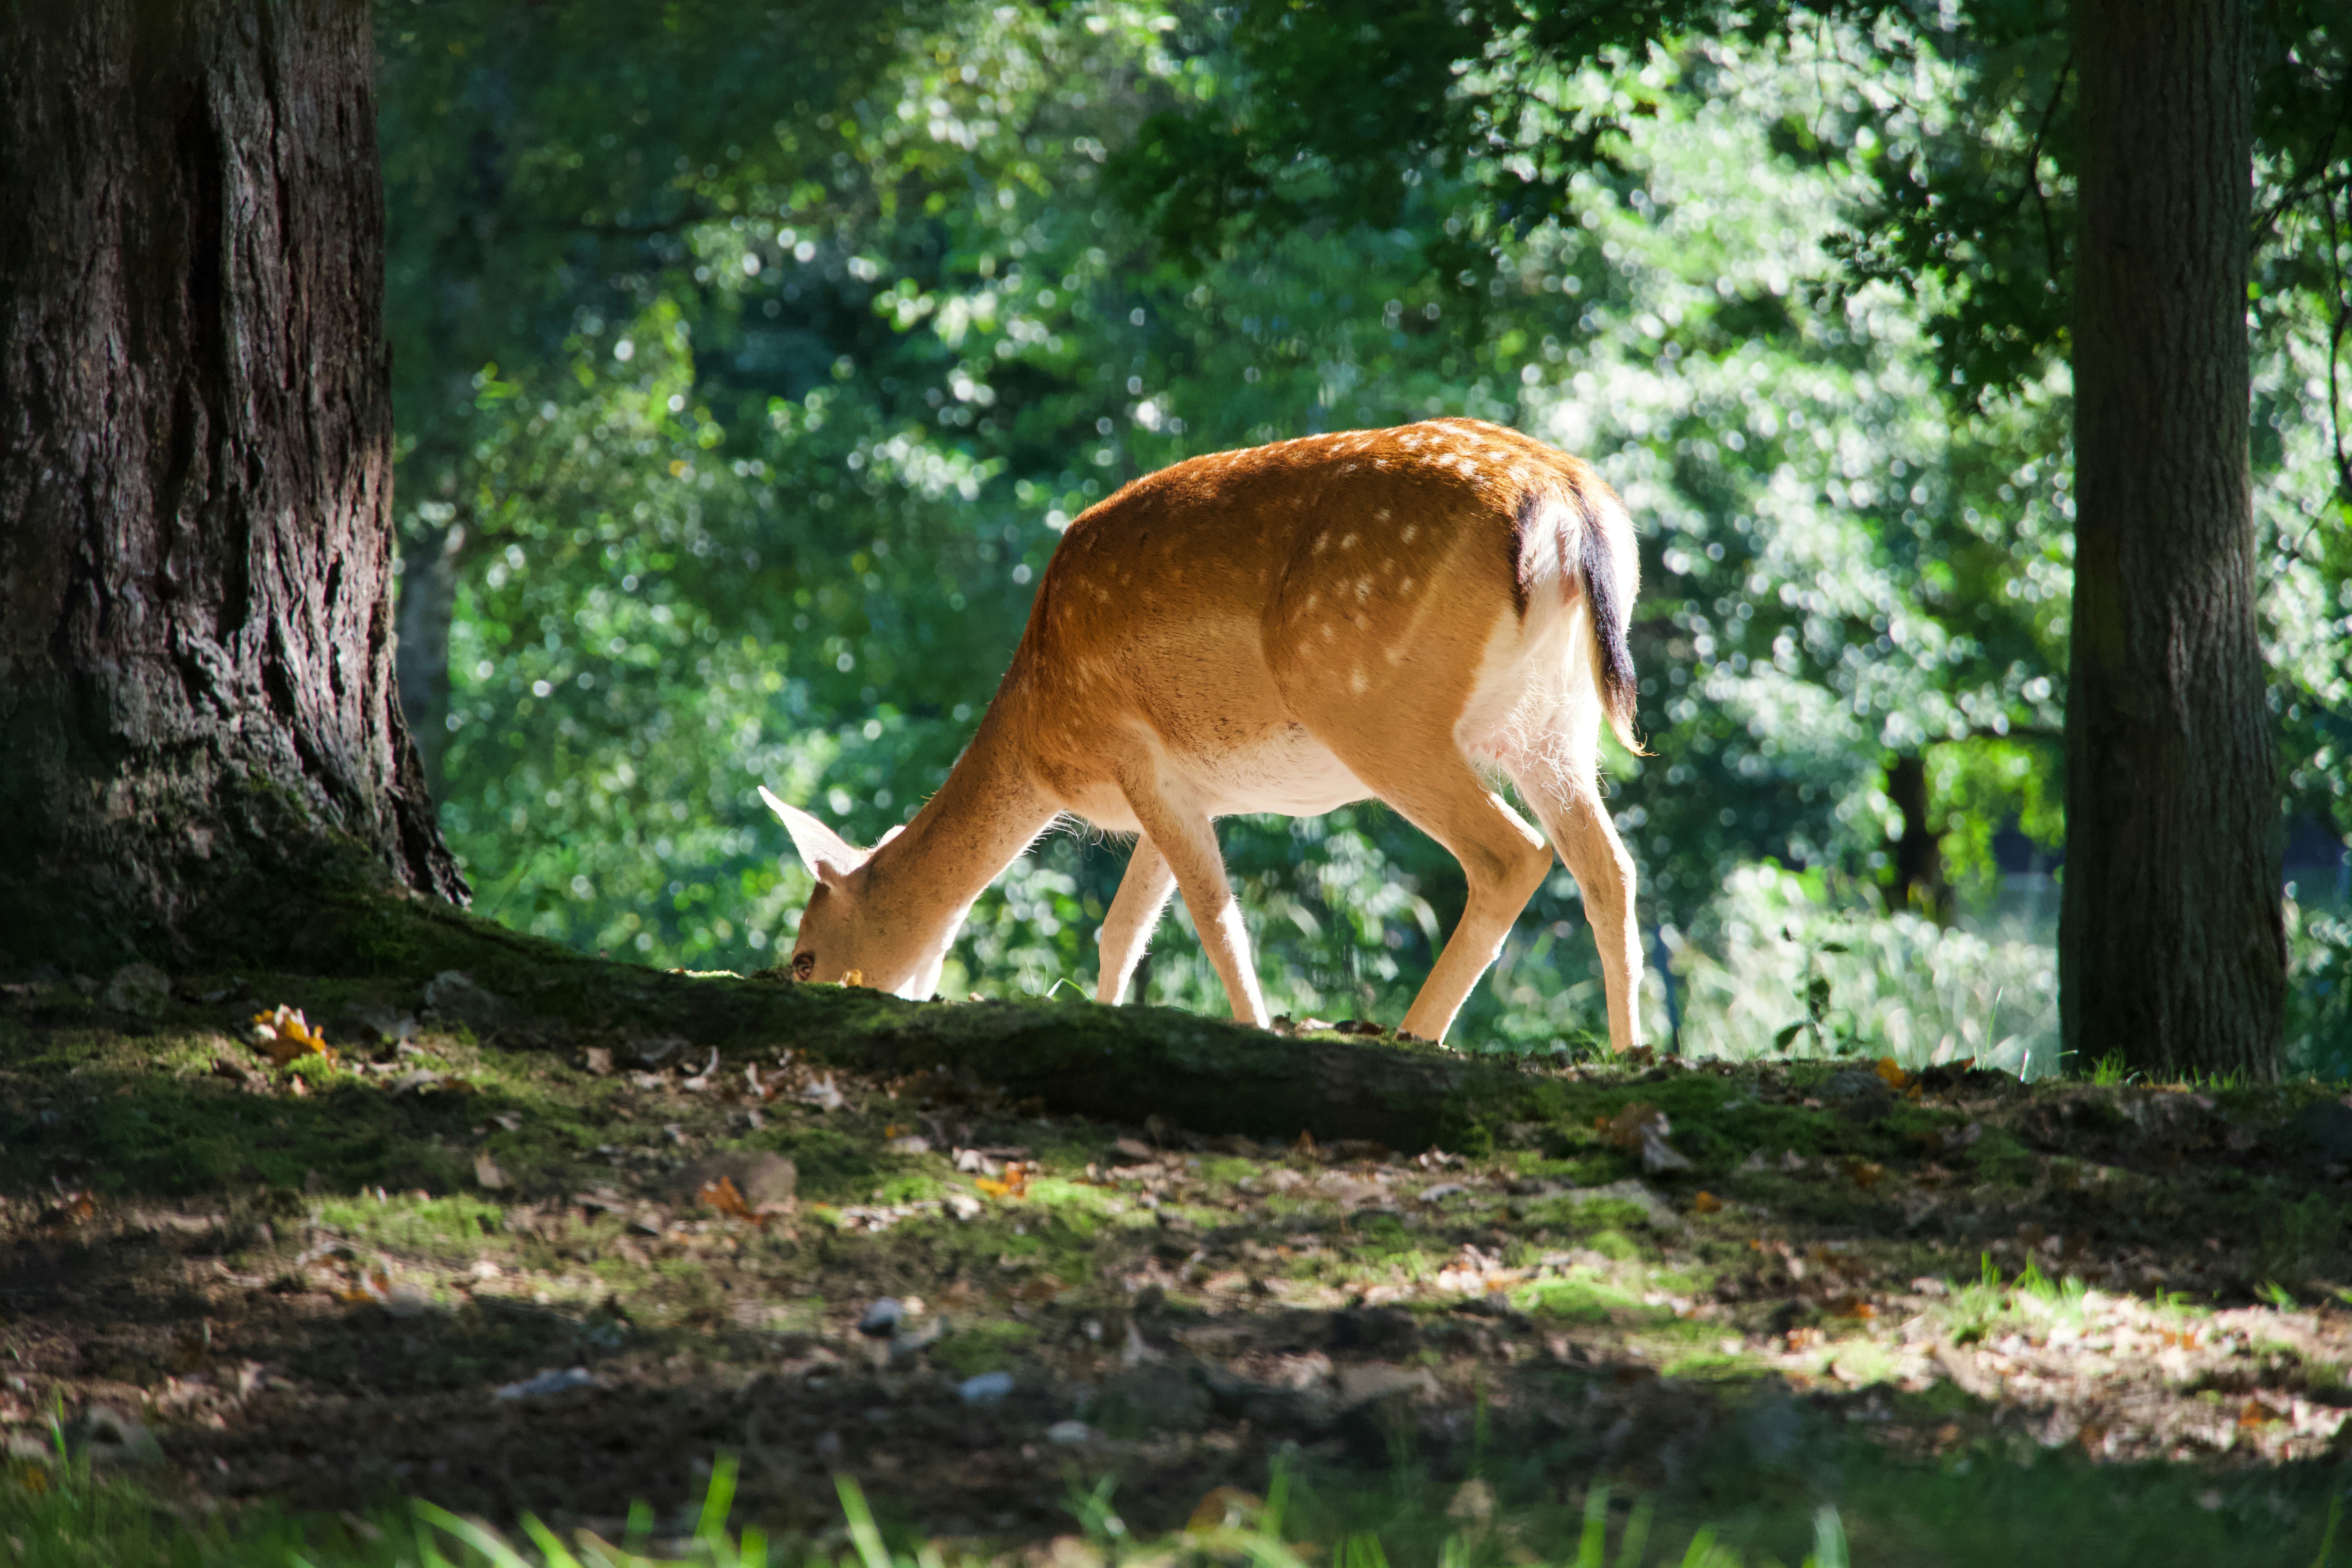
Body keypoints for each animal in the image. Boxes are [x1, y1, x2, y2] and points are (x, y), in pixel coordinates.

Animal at [758, 416, 1646, 1050]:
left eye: (805, 953)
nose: (795, 984)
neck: (1041, 735)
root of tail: (1568, 503)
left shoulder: (1135, 751)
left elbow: (1213, 917)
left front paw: (1249, 1028)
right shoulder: (1192, 788)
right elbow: (1125, 928)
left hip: (1379, 708)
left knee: (1512, 855)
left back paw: (1414, 1034)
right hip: (1553, 727)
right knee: (1610, 867)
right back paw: (1629, 1049)